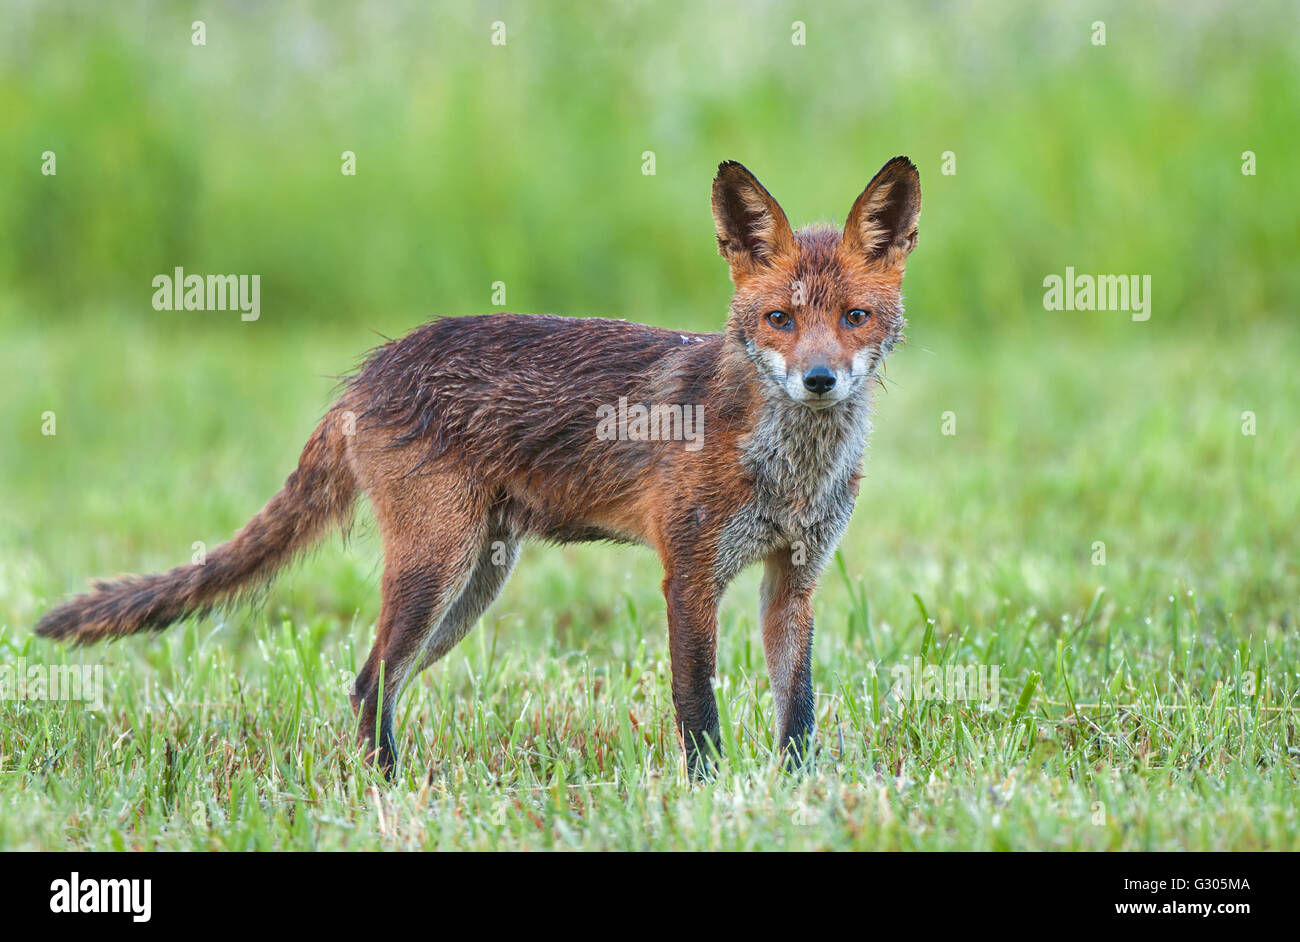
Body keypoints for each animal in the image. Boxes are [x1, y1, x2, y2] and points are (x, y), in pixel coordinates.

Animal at [35, 156, 921, 777]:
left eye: (855, 318)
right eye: (778, 320)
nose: (819, 379)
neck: (788, 470)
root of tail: (372, 369)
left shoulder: (794, 581)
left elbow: (798, 714)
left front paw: (795, 795)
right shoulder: (690, 575)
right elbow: (696, 711)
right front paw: (707, 799)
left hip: (469, 590)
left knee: (375, 686)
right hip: (437, 568)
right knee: (370, 683)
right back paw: (390, 795)